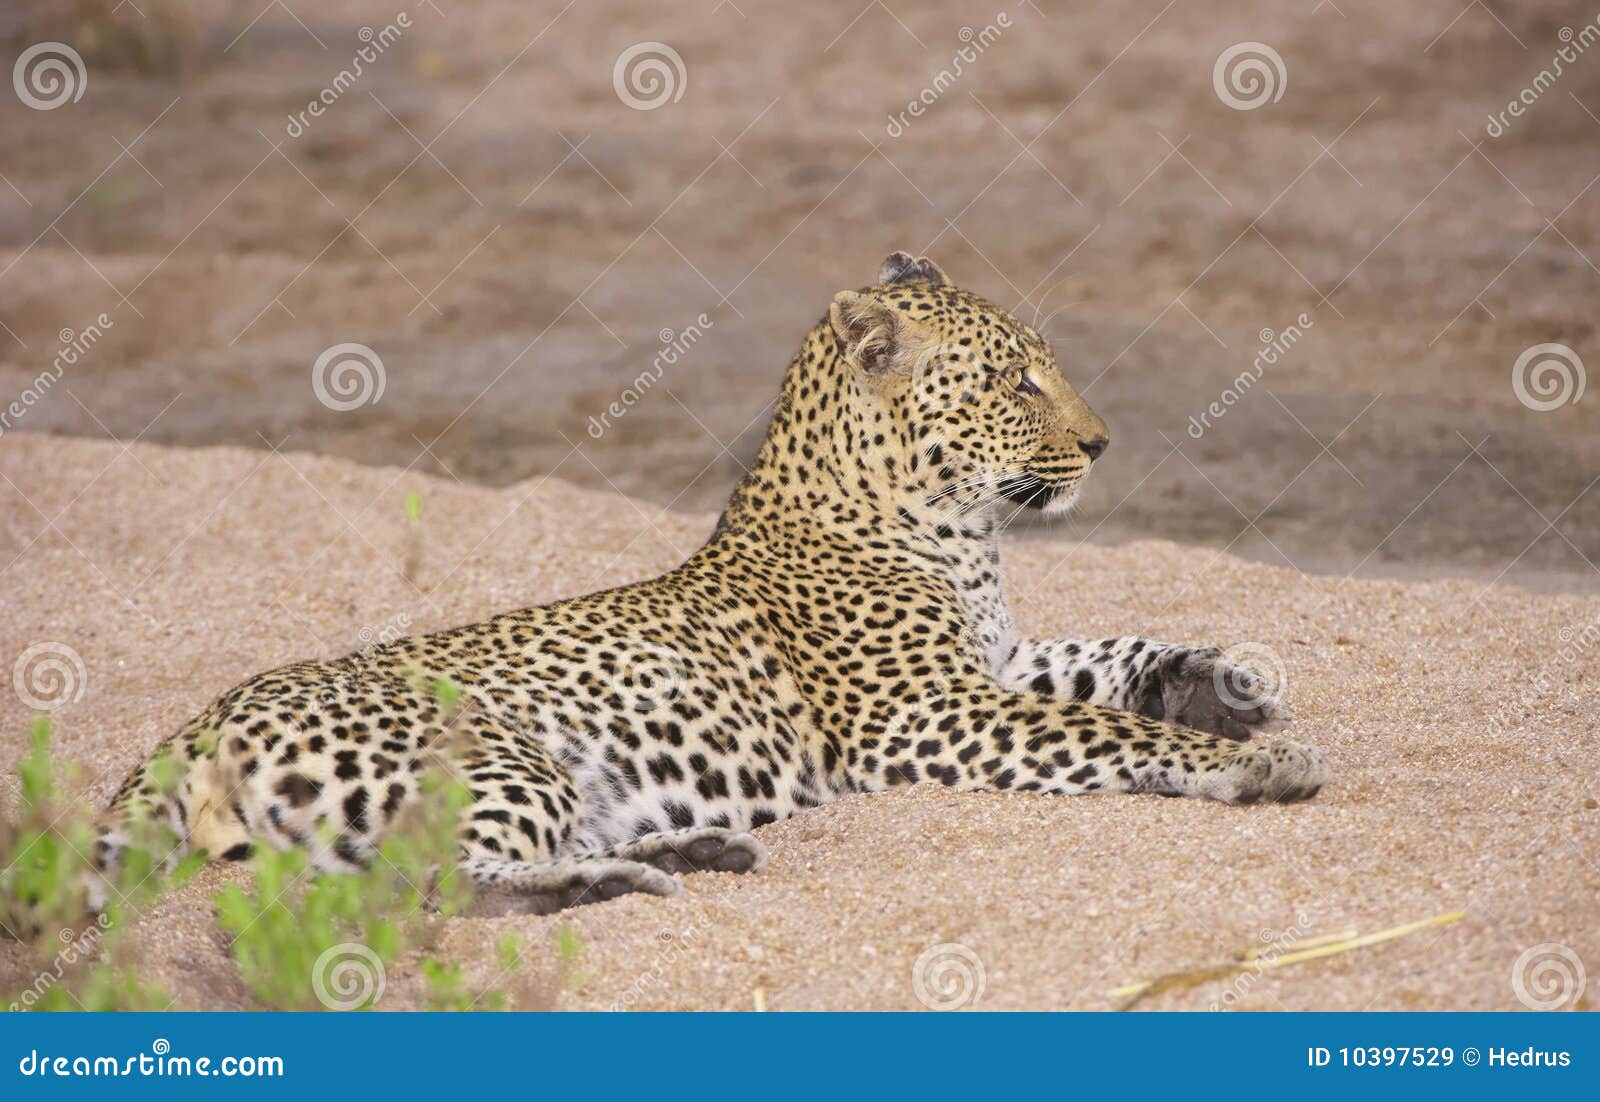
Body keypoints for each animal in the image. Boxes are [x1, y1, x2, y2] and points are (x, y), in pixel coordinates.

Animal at [98, 251, 1329, 915]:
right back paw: (615, 882)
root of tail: (191, 725)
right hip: (495, 753)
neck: (956, 530)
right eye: (1014, 380)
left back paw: (692, 849)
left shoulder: (988, 664)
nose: (1103, 443)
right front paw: (1257, 760)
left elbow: (1105, 655)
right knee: (430, 875)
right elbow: (1108, 732)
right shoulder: (923, 717)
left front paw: (1223, 684)